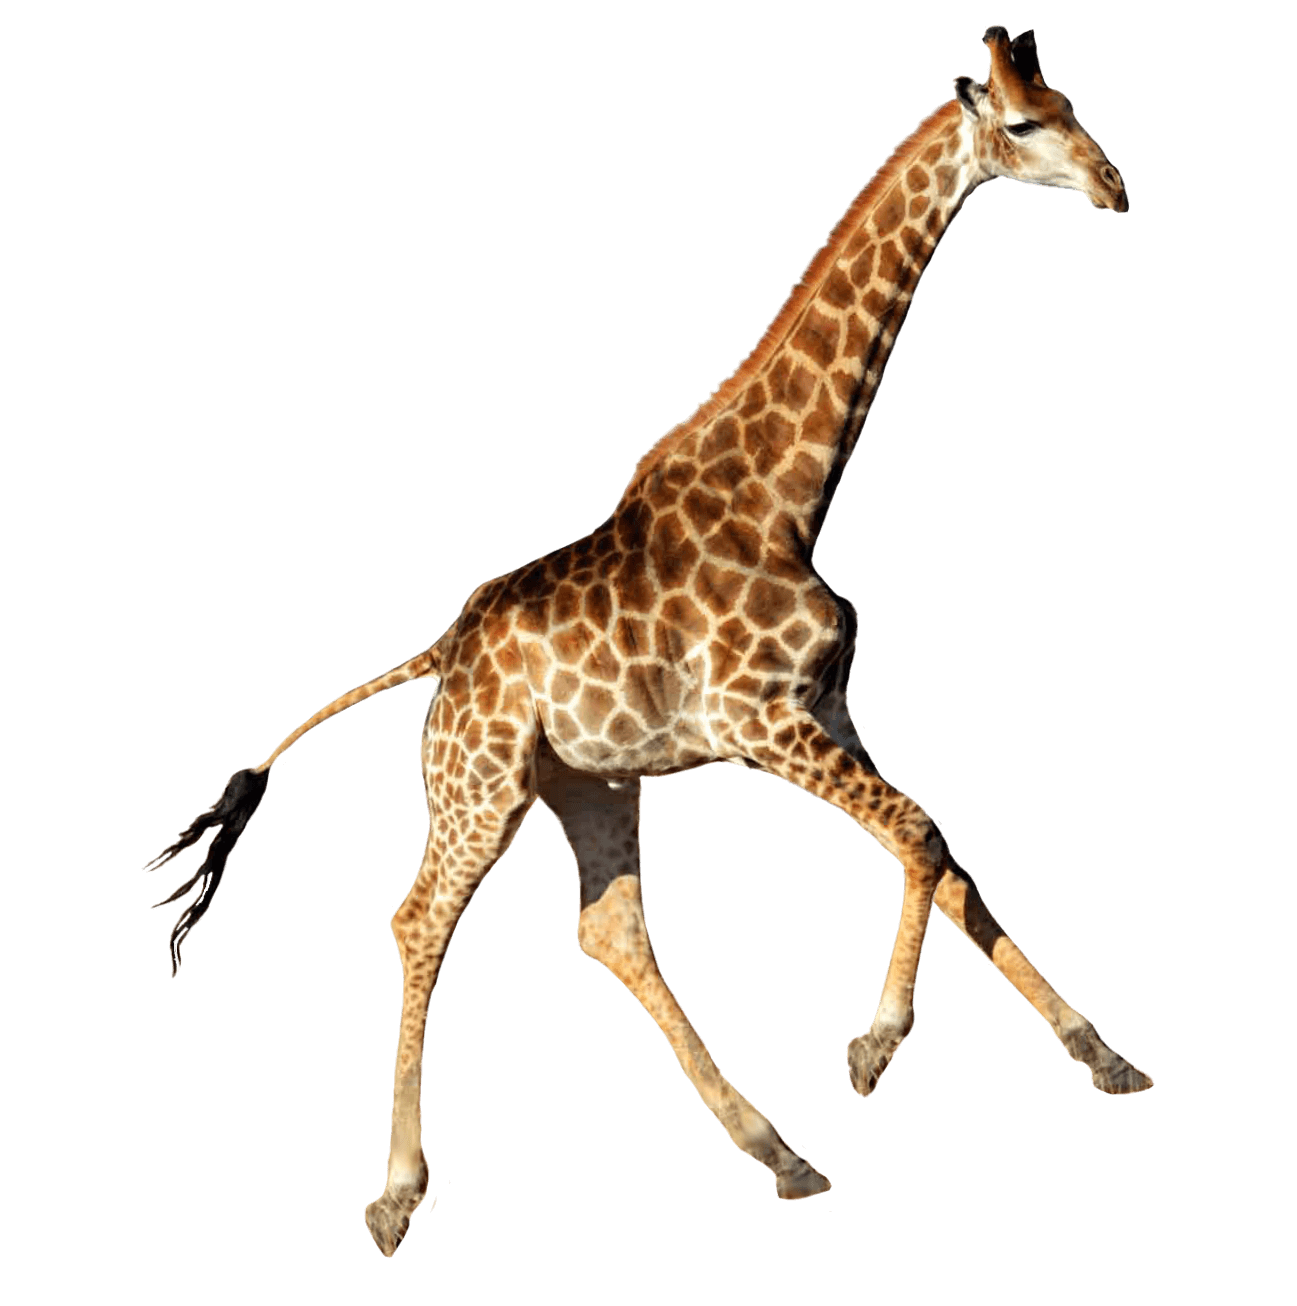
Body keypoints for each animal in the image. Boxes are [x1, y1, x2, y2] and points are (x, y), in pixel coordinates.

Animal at [144, 27, 1149, 1257]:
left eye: (1072, 102)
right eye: (1021, 125)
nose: (1113, 186)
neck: (788, 495)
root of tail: (437, 657)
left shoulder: (831, 706)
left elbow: (945, 856)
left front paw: (1104, 1053)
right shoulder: (758, 717)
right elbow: (921, 829)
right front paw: (874, 1049)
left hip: (588, 781)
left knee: (609, 929)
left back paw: (781, 1153)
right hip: (478, 787)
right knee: (420, 919)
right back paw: (397, 1194)